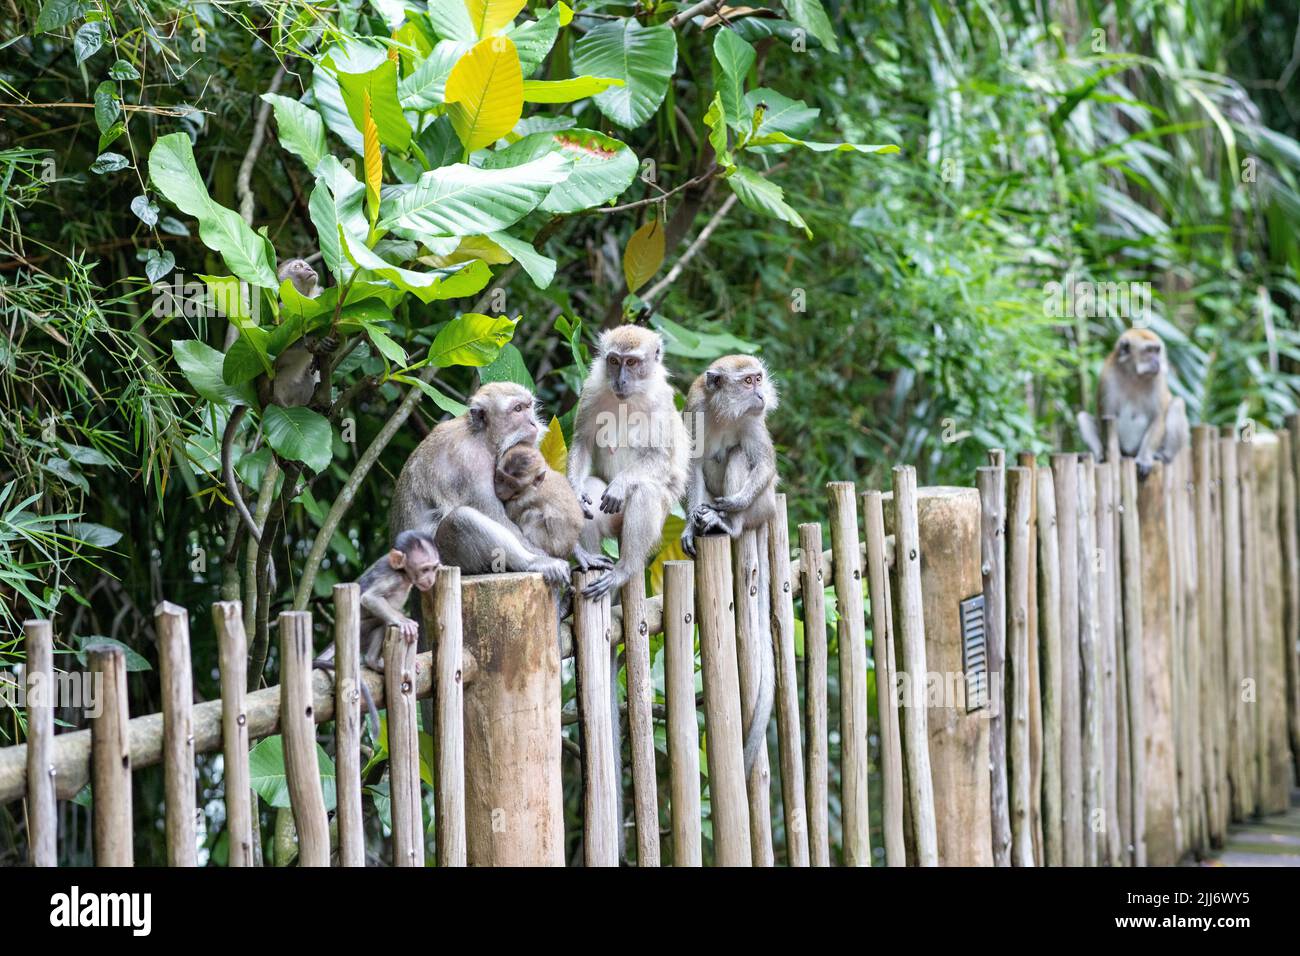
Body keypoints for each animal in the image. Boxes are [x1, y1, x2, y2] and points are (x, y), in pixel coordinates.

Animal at [390, 382, 570, 586]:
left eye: (528, 406)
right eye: (517, 409)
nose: (532, 423)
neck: (482, 437)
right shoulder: (471, 462)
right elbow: (495, 516)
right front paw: (545, 557)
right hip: (441, 560)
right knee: (462, 519)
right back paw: (532, 562)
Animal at [567, 325, 689, 599]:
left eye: (632, 362)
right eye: (614, 361)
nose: (620, 380)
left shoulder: (662, 401)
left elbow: (660, 456)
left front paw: (621, 484)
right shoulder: (592, 390)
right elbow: (583, 441)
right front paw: (576, 491)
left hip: (659, 519)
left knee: (646, 492)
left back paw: (626, 569)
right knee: (592, 492)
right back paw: (591, 560)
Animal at [1077, 327, 1188, 479]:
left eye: (1157, 350)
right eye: (1148, 351)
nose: (1157, 362)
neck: (1134, 375)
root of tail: (1130, 453)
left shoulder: (1158, 380)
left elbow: (1158, 418)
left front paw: (1145, 459)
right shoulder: (1107, 378)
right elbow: (1106, 416)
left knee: (1177, 404)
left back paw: (1163, 455)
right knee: (1082, 417)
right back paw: (1100, 456)